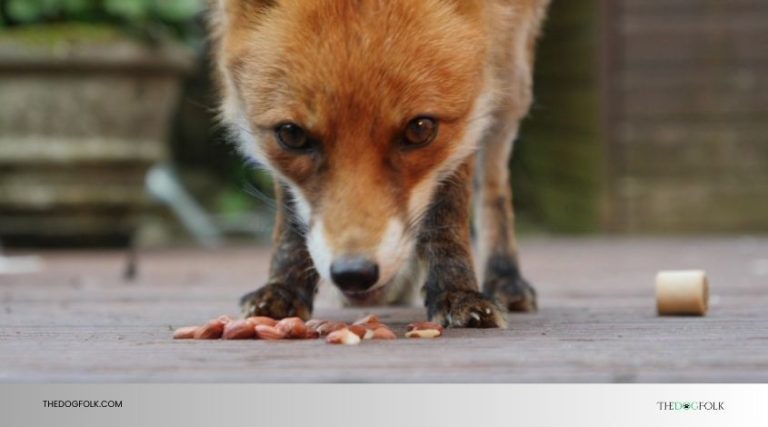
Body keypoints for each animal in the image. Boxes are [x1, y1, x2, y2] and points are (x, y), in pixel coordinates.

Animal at [210, 0, 550, 328]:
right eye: (292, 135)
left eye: (420, 129)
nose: (353, 274)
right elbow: (291, 215)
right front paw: (284, 287)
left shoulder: (472, 109)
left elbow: (448, 210)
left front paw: (456, 292)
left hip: (512, 76)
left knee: (494, 183)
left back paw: (505, 278)